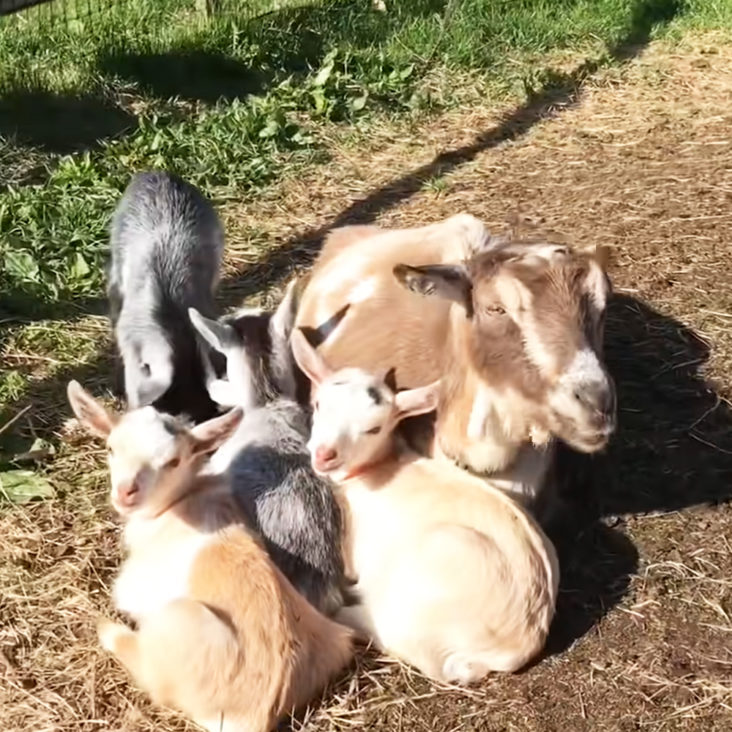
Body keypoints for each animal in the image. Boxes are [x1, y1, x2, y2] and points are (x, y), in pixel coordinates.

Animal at [67, 381, 351, 732]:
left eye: (174, 461)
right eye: (111, 448)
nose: (126, 492)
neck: (179, 504)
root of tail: (254, 716)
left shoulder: (133, 588)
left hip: (176, 623)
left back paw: (104, 628)